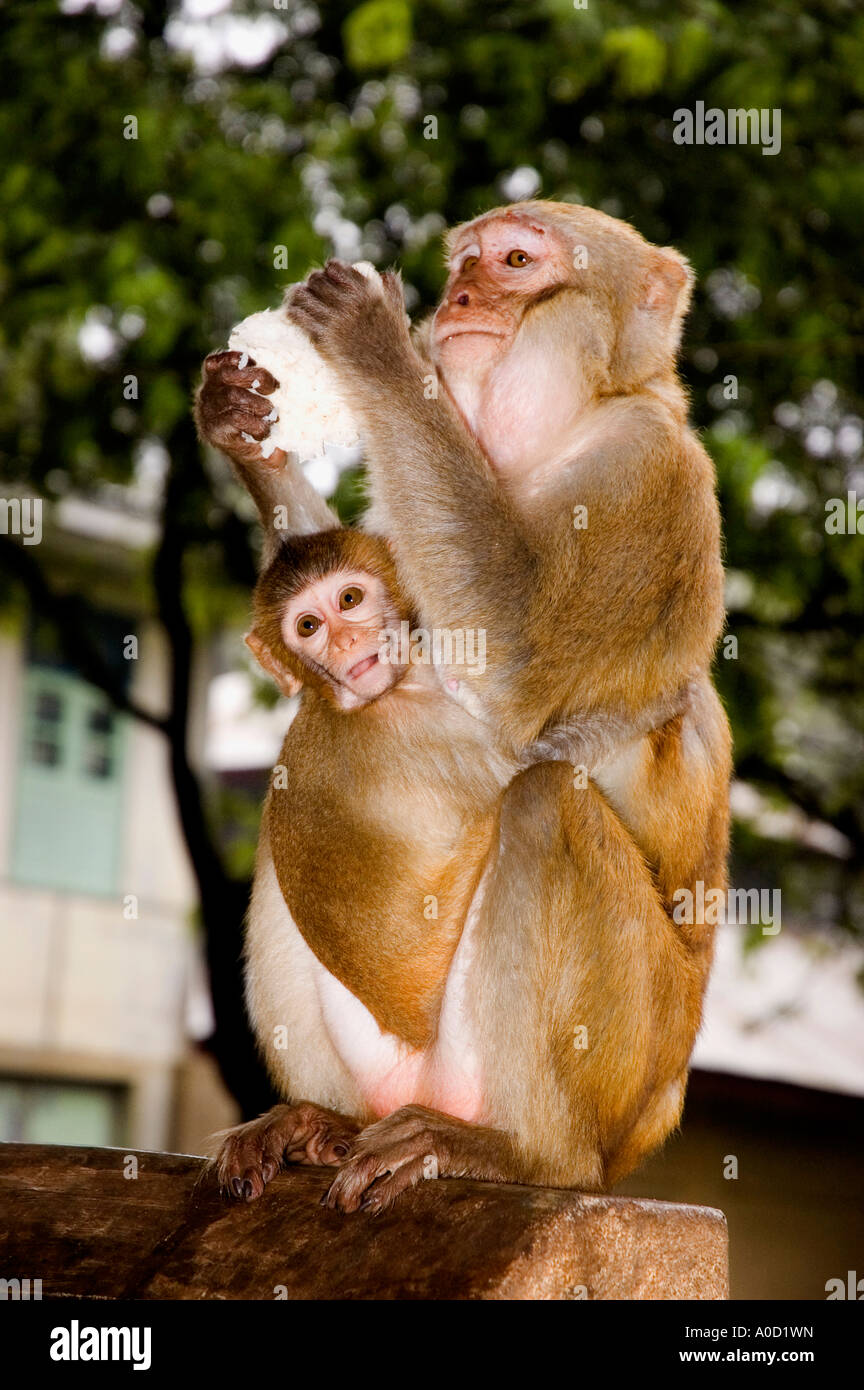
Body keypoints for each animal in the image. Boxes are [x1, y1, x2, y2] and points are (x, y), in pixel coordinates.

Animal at [196, 199, 731, 1213]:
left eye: (515, 261)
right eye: (465, 261)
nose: (458, 299)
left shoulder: (646, 473)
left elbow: (520, 671)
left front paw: (374, 346)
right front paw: (243, 423)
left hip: (632, 1072)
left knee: (546, 802)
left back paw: (528, 1155)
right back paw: (323, 1122)